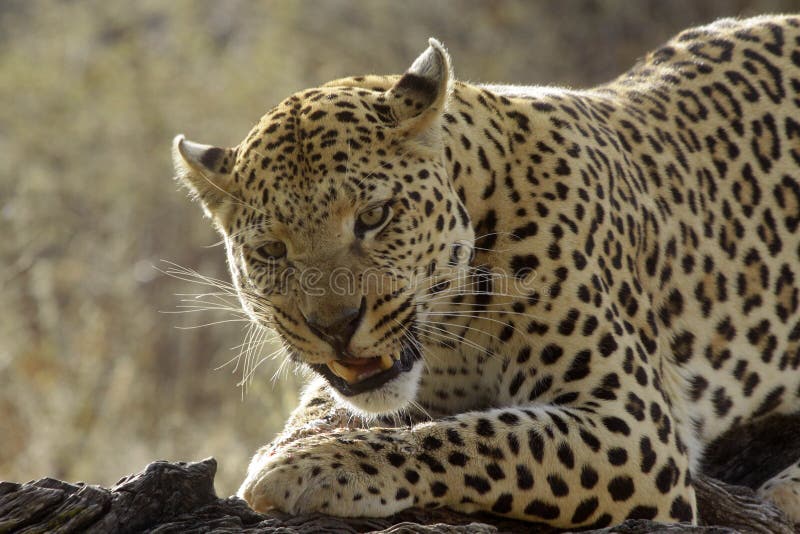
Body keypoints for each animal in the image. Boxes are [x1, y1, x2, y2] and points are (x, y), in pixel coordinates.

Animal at [172, 15, 800, 528]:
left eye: (374, 216)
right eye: (271, 251)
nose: (335, 327)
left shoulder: (632, 422)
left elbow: (484, 437)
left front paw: (312, 466)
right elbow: (335, 407)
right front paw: (293, 445)